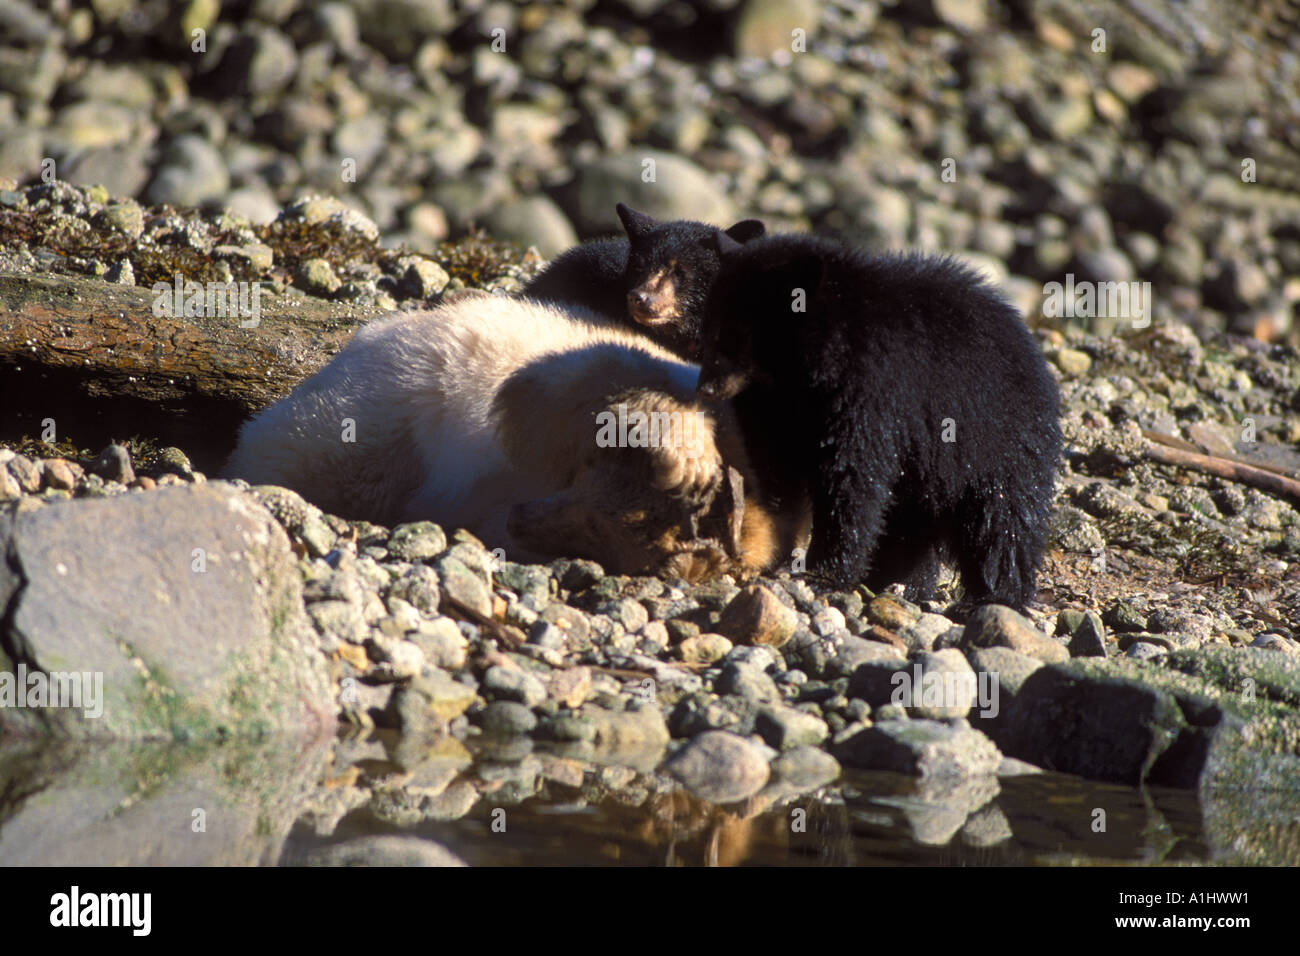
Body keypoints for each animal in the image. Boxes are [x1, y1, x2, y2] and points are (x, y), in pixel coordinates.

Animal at [222, 292, 807, 580]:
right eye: (583, 476)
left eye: (593, 532)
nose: (523, 518)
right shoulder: (603, 365)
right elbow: (540, 396)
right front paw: (683, 459)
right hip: (378, 402)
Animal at [695, 232, 1062, 609]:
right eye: (709, 329)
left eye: (736, 334)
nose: (705, 387)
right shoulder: (773, 409)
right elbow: (777, 468)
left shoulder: (871, 395)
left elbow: (852, 480)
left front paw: (823, 574)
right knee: (912, 525)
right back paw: (901, 584)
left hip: (1000, 441)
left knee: (1001, 519)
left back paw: (995, 596)